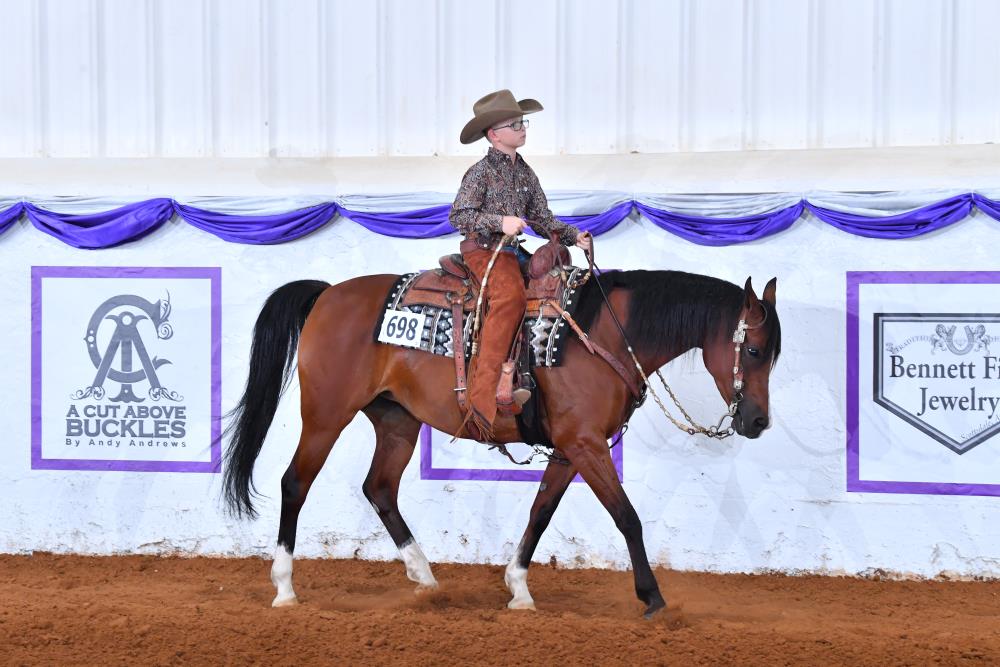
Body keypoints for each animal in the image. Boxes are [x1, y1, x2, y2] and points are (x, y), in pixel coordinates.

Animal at [222, 266, 781, 618]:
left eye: (774, 354)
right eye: (753, 349)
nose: (757, 421)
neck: (604, 335)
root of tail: (328, 293)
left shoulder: (572, 447)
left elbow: (541, 511)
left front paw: (518, 589)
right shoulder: (586, 444)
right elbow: (627, 517)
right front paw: (653, 599)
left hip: (397, 421)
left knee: (379, 488)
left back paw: (426, 580)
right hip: (324, 415)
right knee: (295, 483)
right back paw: (285, 588)